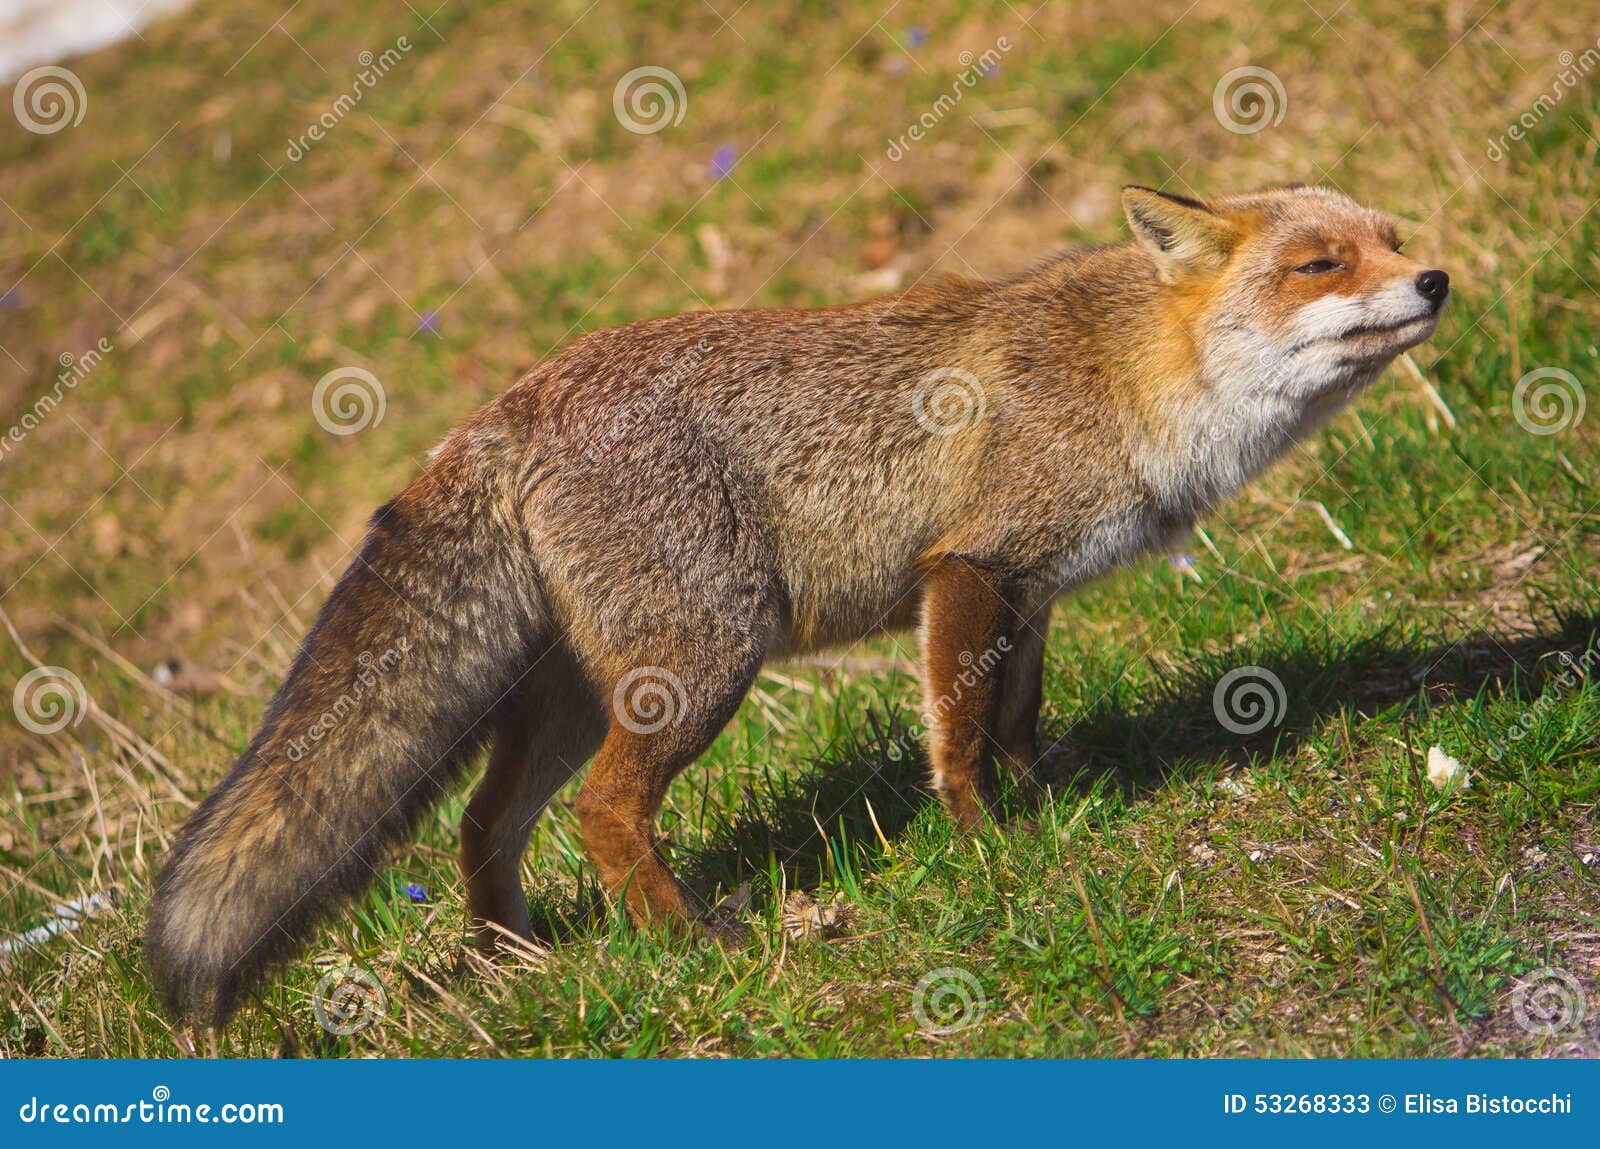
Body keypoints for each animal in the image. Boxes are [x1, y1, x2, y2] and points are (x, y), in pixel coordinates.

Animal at [146, 183, 1450, 1024]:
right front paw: (986, 847)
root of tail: (502, 406)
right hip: (702, 669)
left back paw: (519, 962)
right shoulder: (968, 570)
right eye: (1319, 264)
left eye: (1390, 241)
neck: (1130, 374)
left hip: (579, 699)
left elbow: (1017, 725)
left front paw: (1047, 809)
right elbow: (956, 742)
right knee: (602, 815)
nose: (1436, 278)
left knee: (483, 824)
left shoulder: (1030, 592)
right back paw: (685, 944)